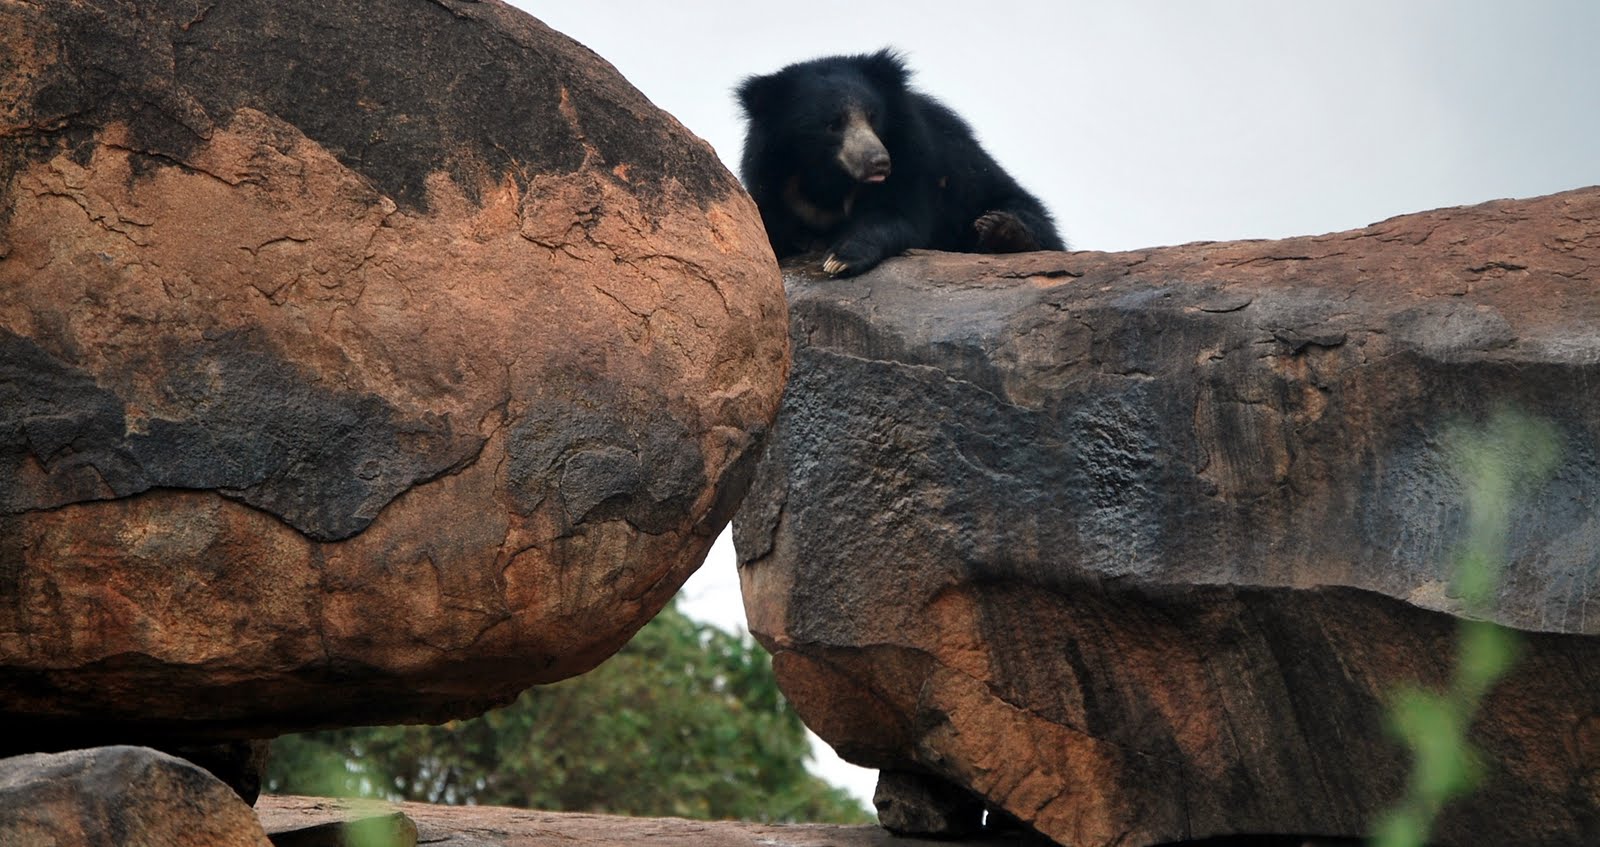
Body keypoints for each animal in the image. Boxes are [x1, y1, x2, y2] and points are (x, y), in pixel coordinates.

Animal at [736, 49, 1066, 277]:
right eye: (832, 125)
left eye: (873, 116)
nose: (879, 162)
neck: (830, 177)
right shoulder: (773, 181)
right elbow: (770, 231)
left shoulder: (912, 159)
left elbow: (898, 216)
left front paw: (839, 259)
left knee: (1027, 217)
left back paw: (1002, 231)